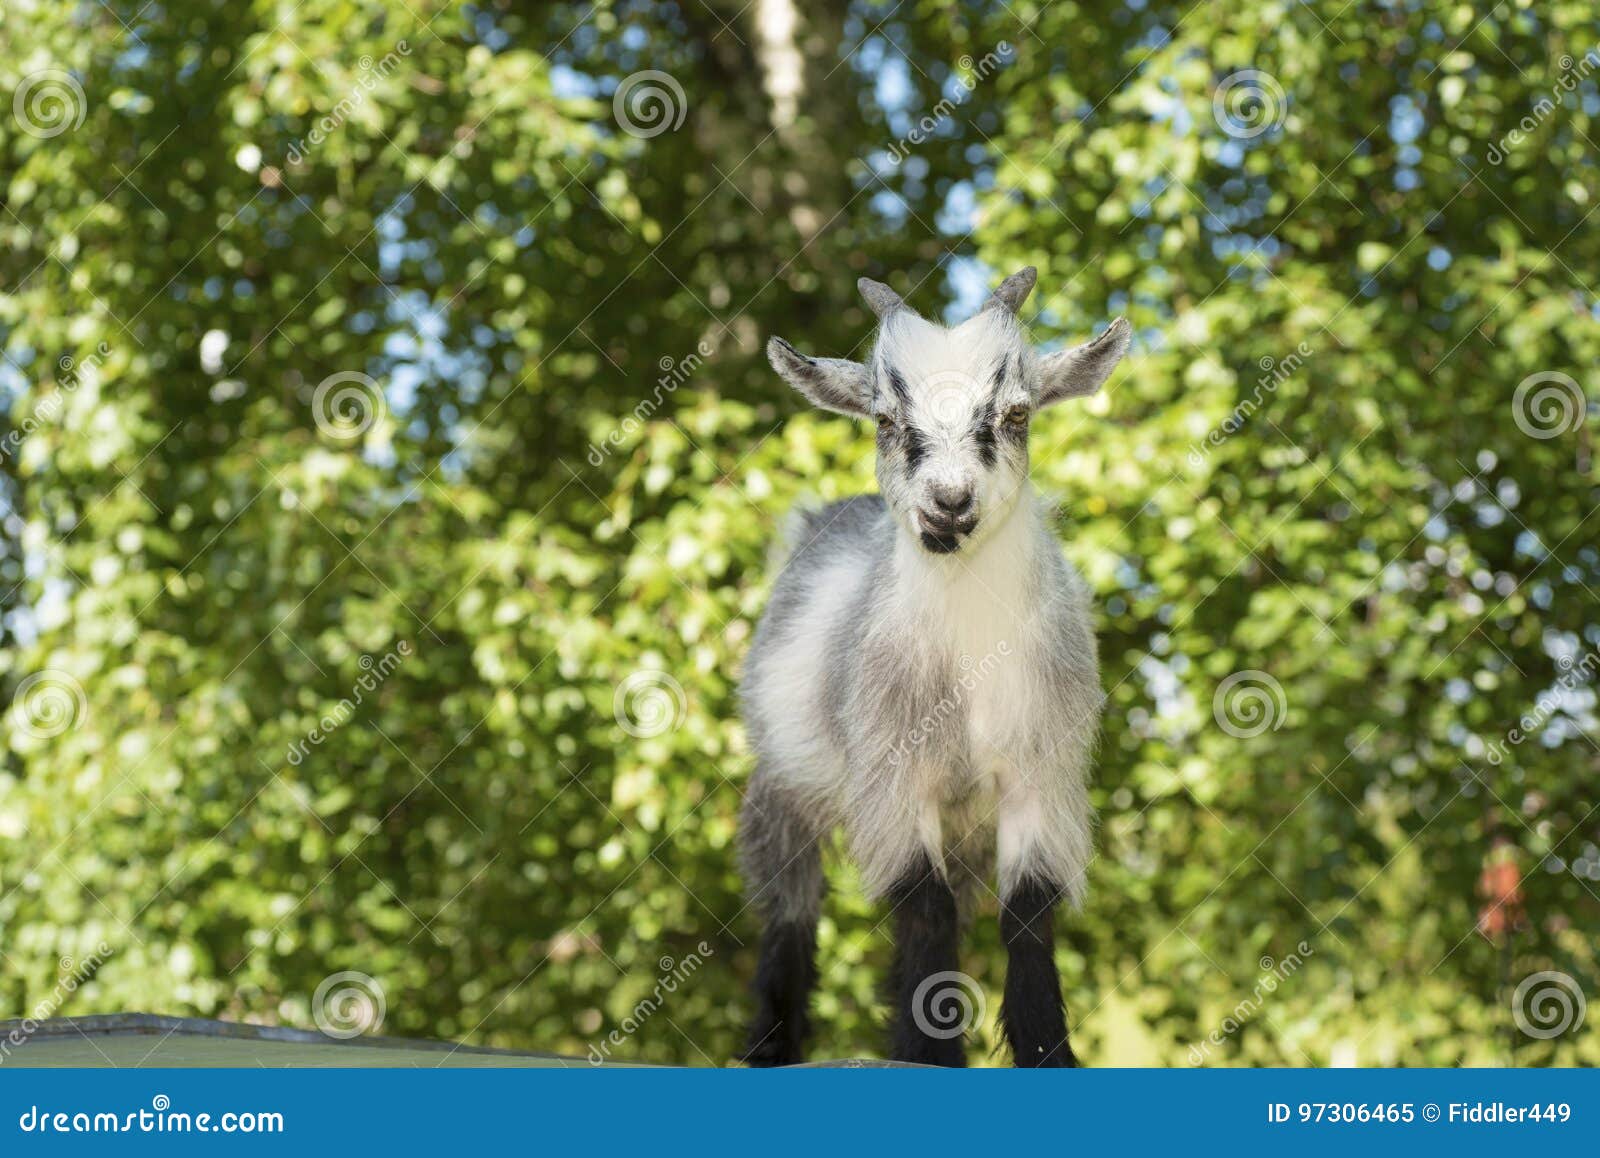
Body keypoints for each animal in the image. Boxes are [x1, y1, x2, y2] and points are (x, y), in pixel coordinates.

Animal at [738, 267, 1128, 1067]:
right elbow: (925, 908)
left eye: (1017, 414)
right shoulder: (896, 774)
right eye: (887, 420)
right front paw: (928, 1051)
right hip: (782, 783)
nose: (949, 502)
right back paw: (770, 1044)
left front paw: (1045, 1050)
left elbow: (1027, 914)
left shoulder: (1039, 773)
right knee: (789, 913)